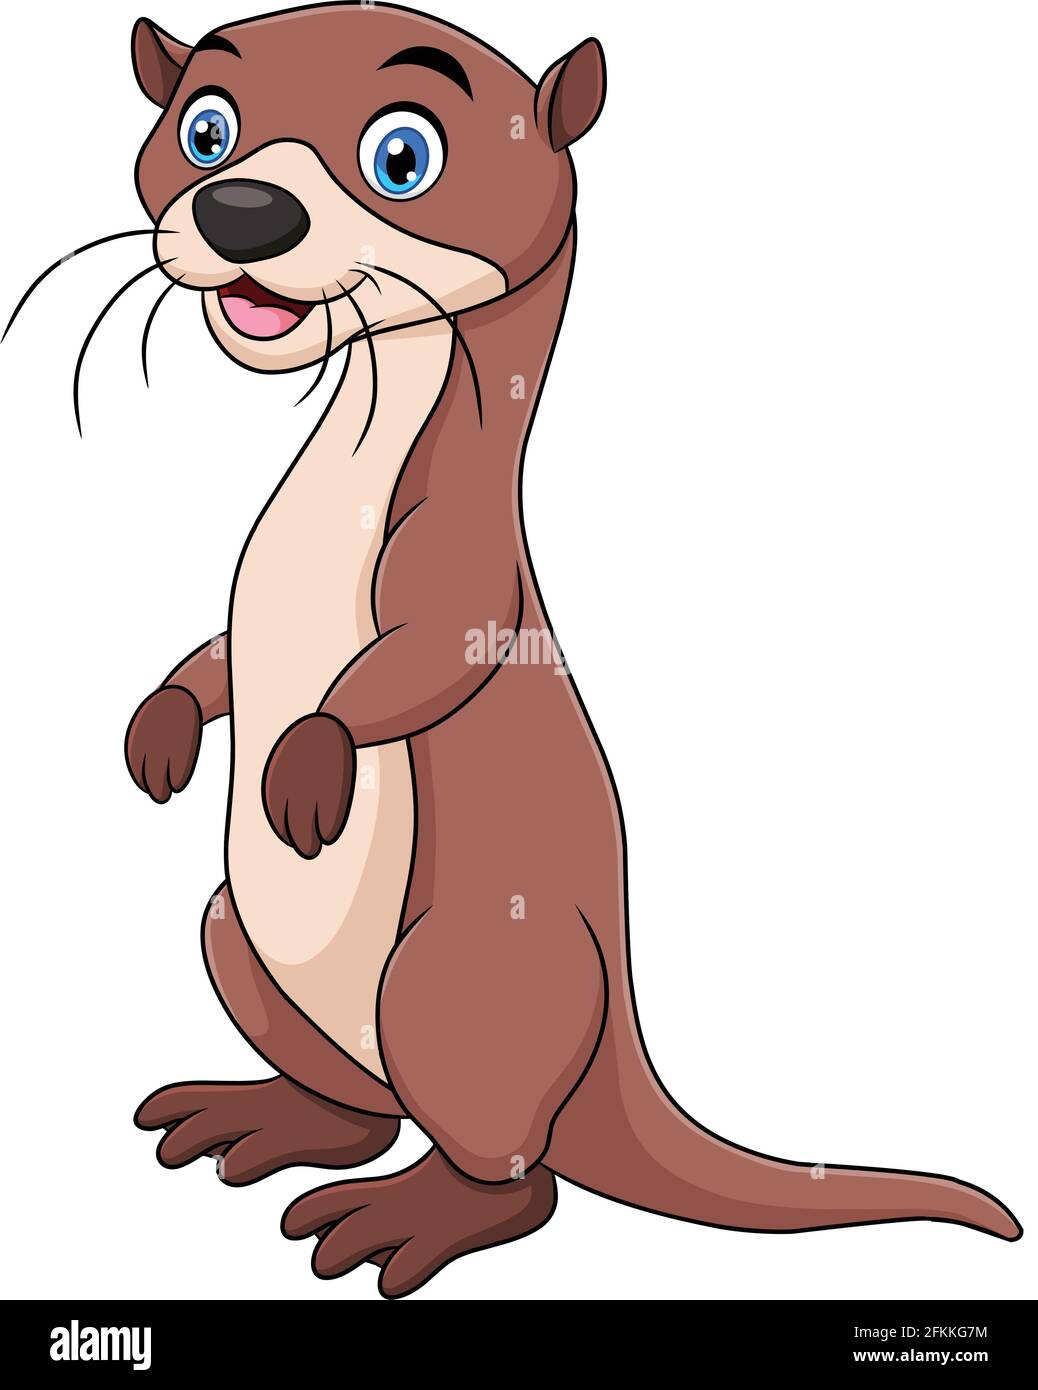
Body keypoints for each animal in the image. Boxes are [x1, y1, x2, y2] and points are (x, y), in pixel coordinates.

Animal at [13, 2, 1018, 1298]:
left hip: (452, 970)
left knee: (514, 1174)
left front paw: (307, 760)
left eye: (403, 154)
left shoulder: (459, 567)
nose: (242, 210)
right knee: (357, 1097)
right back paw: (266, 1116)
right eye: (204, 129)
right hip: (234, 930)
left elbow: (426, 663)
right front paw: (161, 729)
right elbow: (221, 656)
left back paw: (404, 1218)